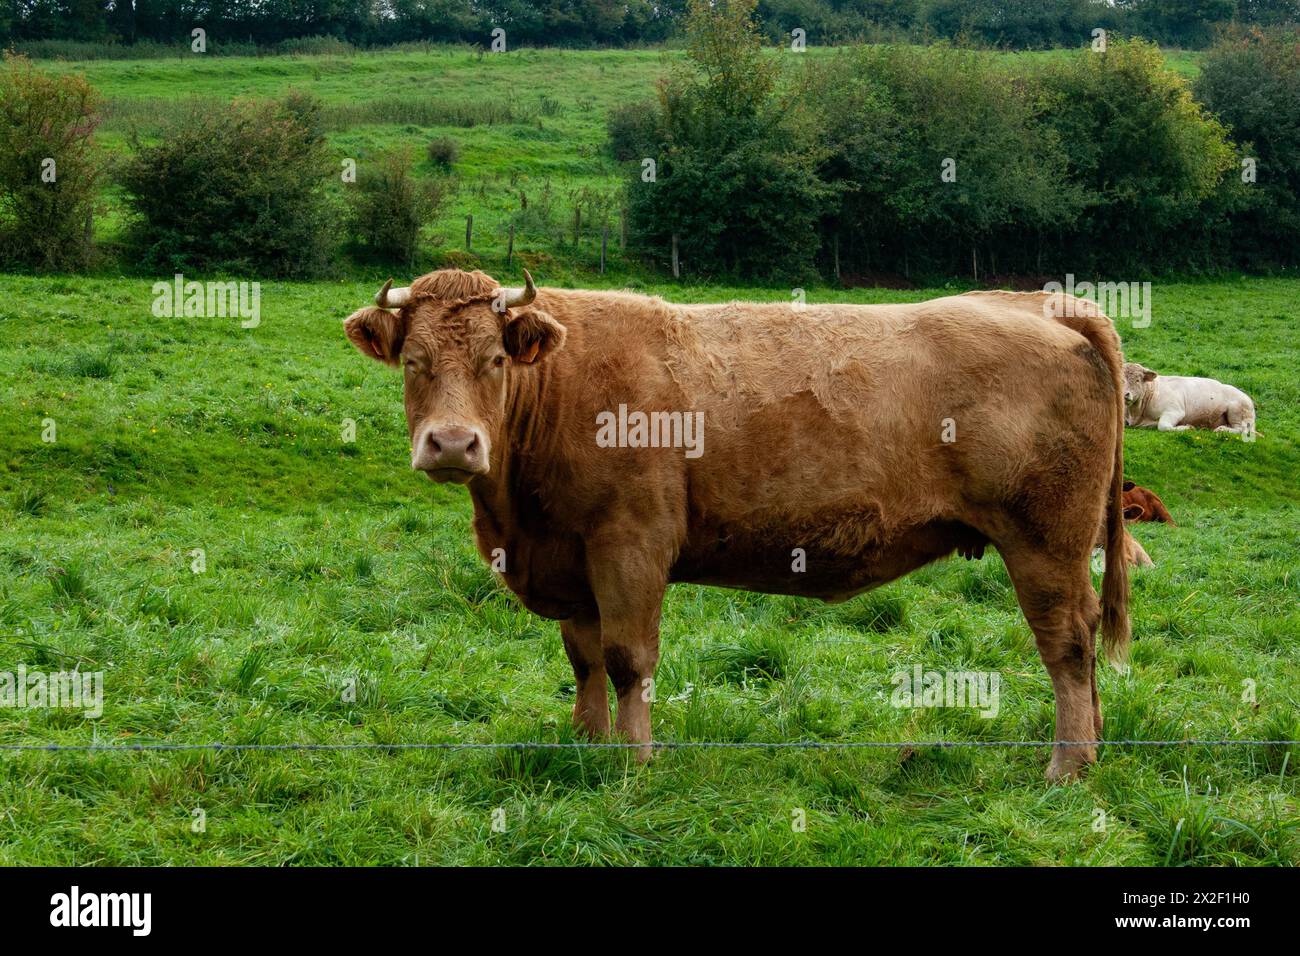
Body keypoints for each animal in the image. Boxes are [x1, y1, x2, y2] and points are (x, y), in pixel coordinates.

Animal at [343, 270, 1132, 781]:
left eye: (495, 359)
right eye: (413, 362)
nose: (452, 445)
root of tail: (1042, 305)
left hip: (1045, 541)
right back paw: (1093, 747)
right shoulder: (572, 557)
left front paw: (633, 762)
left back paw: (1067, 764)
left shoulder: (629, 544)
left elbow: (628, 660)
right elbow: (585, 660)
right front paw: (587, 749)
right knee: (1085, 640)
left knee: (1067, 643)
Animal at [1122, 363, 1256, 437]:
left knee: (1242, 430)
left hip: (1237, 412)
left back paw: (1222, 429)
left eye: (1137, 380)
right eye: (1121, 379)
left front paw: (1187, 428)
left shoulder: (1175, 411)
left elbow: (1163, 426)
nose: (1125, 394)